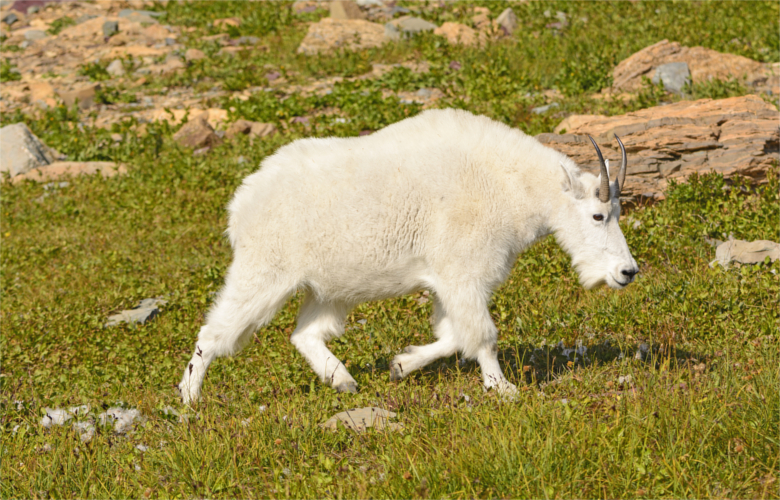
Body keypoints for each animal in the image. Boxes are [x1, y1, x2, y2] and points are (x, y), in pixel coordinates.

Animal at [179, 108, 638, 403]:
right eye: (598, 215)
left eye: (617, 212)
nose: (627, 272)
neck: (512, 187)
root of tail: (243, 200)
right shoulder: (464, 273)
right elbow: (482, 335)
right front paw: (502, 388)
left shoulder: (448, 281)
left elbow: (452, 335)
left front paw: (400, 365)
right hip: (265, 272)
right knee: (213, 333)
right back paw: (189, 399)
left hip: (330, 289)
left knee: (305, 333)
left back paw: (343, 381)